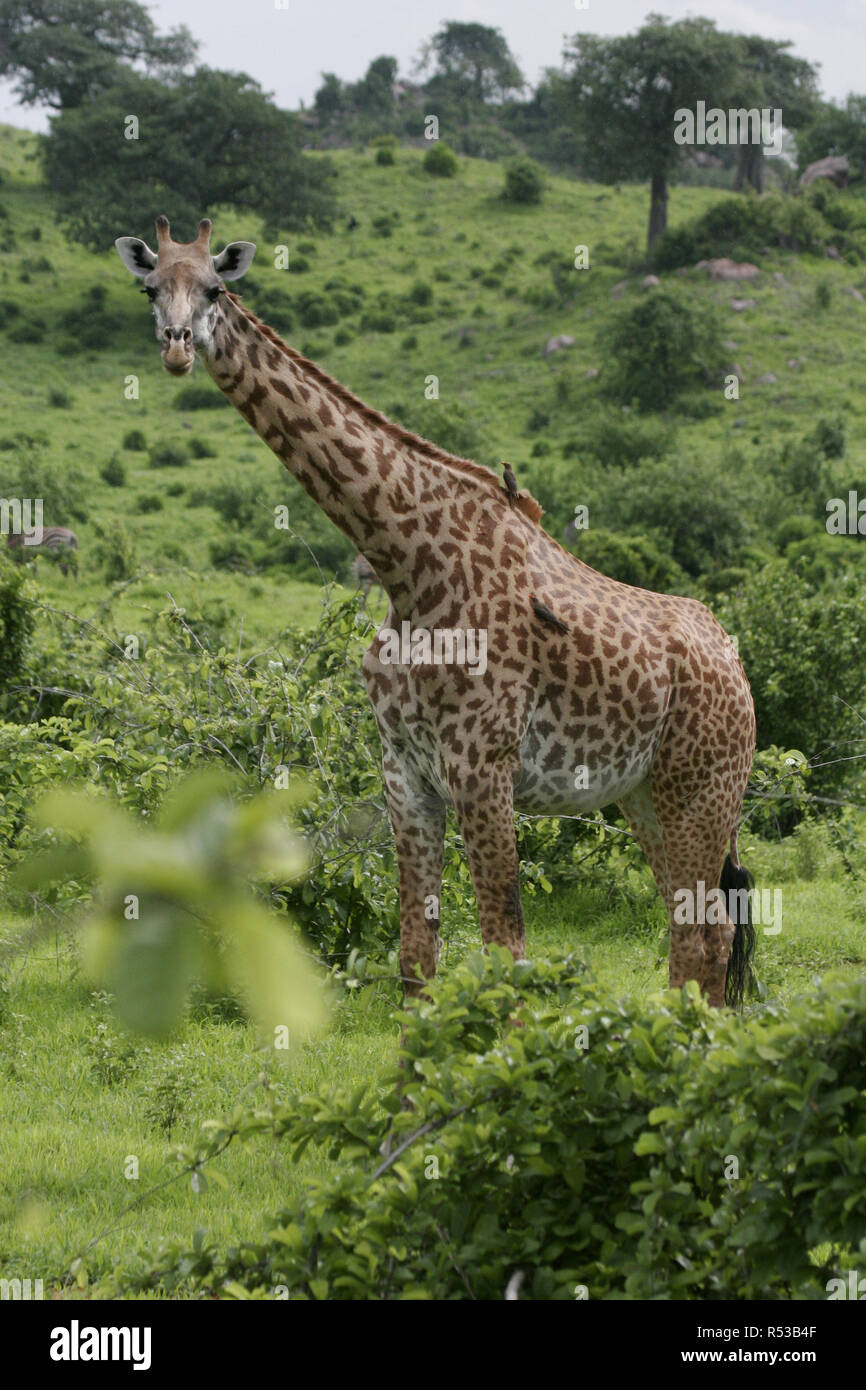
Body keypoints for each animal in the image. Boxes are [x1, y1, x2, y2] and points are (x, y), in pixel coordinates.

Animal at [115, 217, 757, 1008]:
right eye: (150, 287)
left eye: (214, 287)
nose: (176, 347)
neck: (407, 570)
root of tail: (735, 661)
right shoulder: (405, 772)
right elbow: (416, 955)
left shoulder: (482, 765)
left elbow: (505, 946)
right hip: (646, 792)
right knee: (688, 929)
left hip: (704, 786)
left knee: (708, 932)